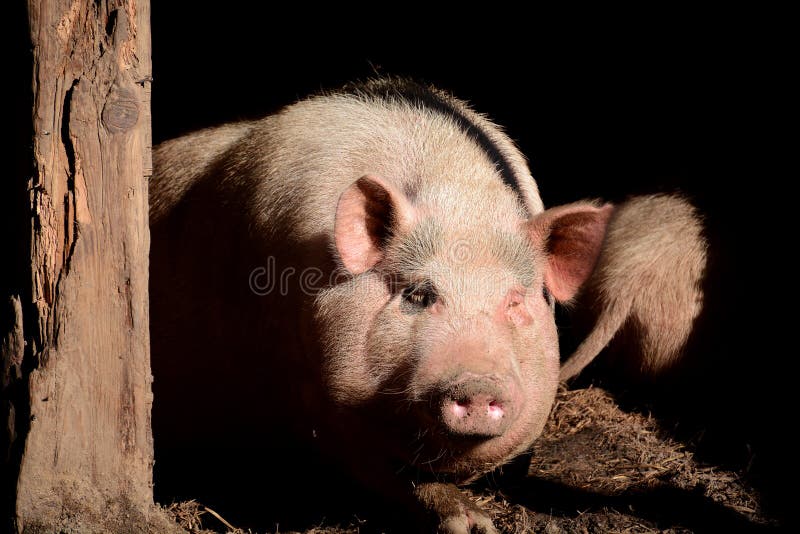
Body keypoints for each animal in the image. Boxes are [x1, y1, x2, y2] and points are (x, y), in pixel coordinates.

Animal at [149, 78, 612, 533]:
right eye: (418, 295)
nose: (478, 383)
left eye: (515, 302)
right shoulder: (317, 391)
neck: (457, 199)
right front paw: (470, 522)